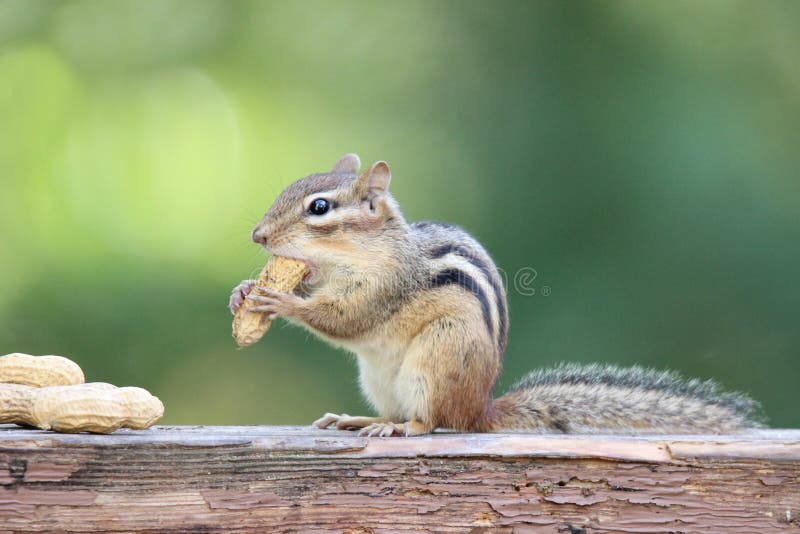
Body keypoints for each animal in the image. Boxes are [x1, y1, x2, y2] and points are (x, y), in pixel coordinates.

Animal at [229, 153, 765, 437]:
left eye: (319, 208)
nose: (257, 235)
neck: (361, 255)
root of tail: (481, 408)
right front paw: (243, 292)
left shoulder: (386, 287)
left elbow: (347, 319)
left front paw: (281, 302)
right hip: (379, 379)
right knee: (399, 410)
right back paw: (358, 419)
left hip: (438, 358)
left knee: (431, 422)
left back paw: (400, 429)